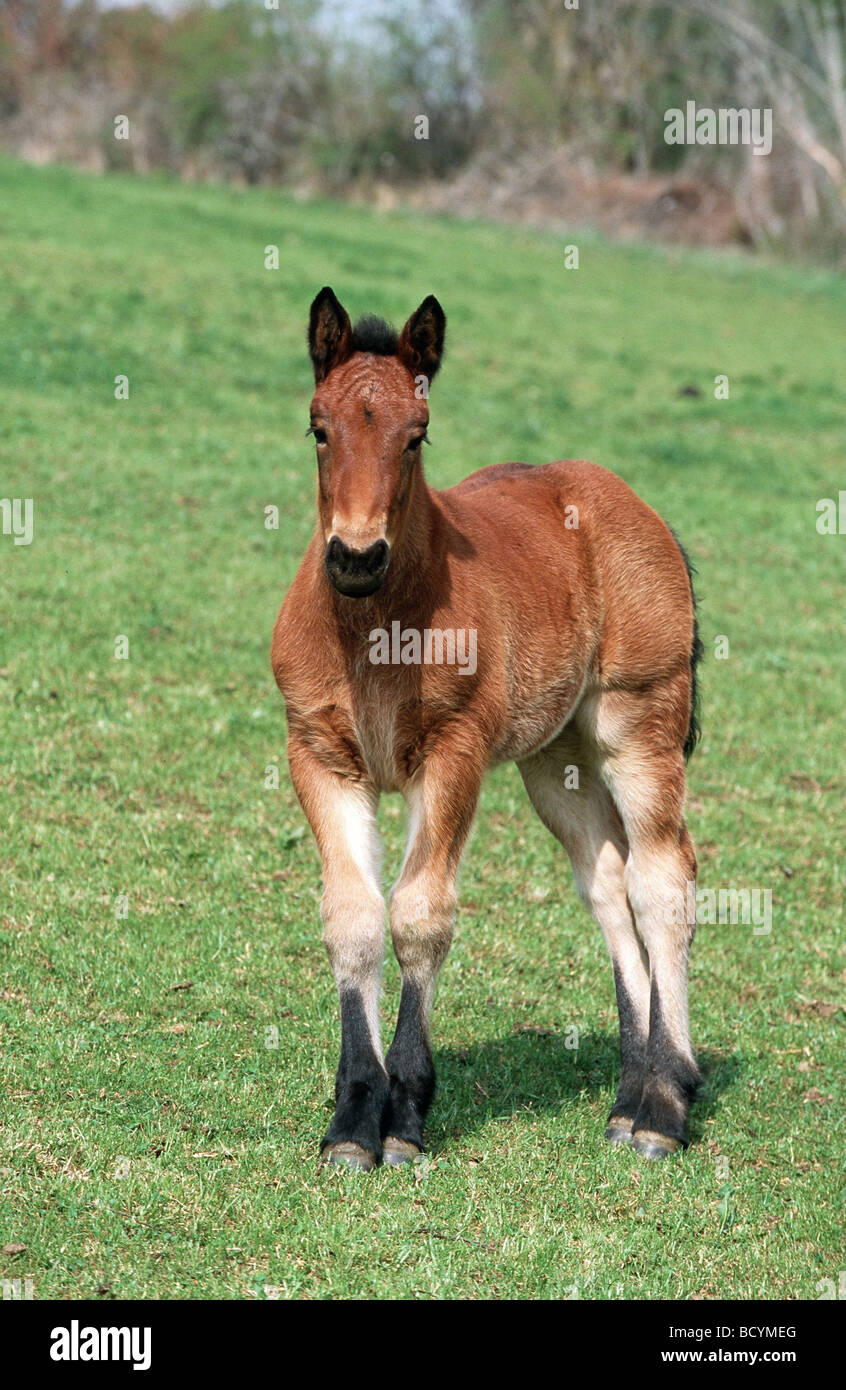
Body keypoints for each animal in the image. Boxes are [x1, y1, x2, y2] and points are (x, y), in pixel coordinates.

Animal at [271, 287, 703, 1169]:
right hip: (555, 762)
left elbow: (420, 915)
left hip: (640, 723)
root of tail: (634, 505)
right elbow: (354, 919)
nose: (356, 557)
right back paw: (628, 1097)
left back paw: (663, 1108)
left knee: (662, 879)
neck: (374, 631)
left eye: (417, 435)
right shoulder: (322, 758)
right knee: (609, 886)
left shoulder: (452, 755)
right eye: (318, 426)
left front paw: (404, 1115)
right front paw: (352, 1120)